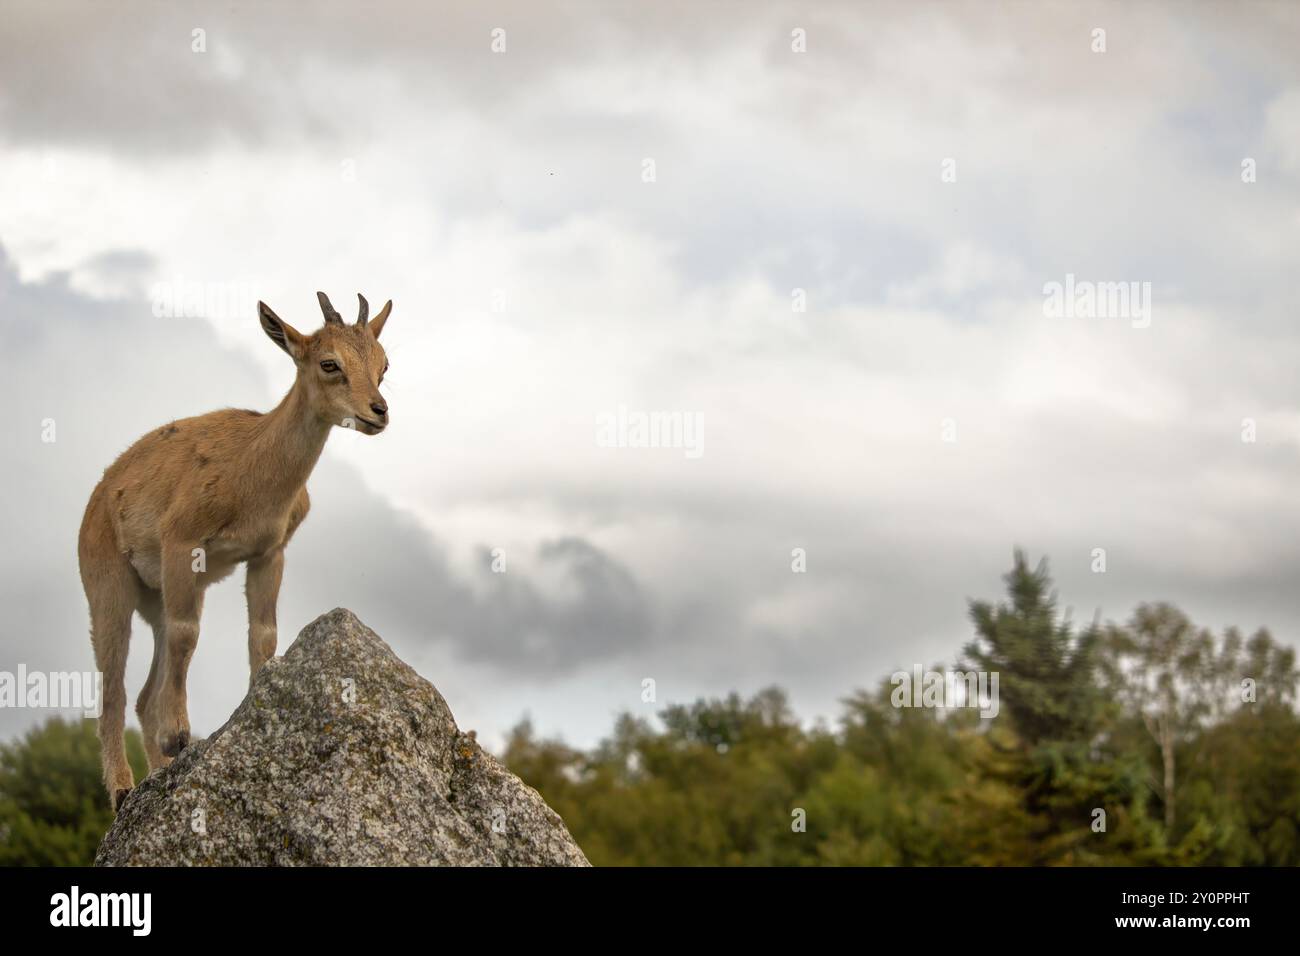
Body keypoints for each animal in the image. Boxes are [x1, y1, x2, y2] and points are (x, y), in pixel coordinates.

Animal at [78, 292, 393, 809]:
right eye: (329, 363)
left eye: (384, 364)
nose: (378, 411)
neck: (252, 471)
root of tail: (96, 500)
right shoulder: (182, 542)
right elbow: (188, 634)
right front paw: (178, 734)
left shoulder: (268, 553)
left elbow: (262, 635)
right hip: (109, 588)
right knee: (113, 689)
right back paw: (123, 789)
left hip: (155, 597)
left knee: (143, 692)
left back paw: (156, 772)